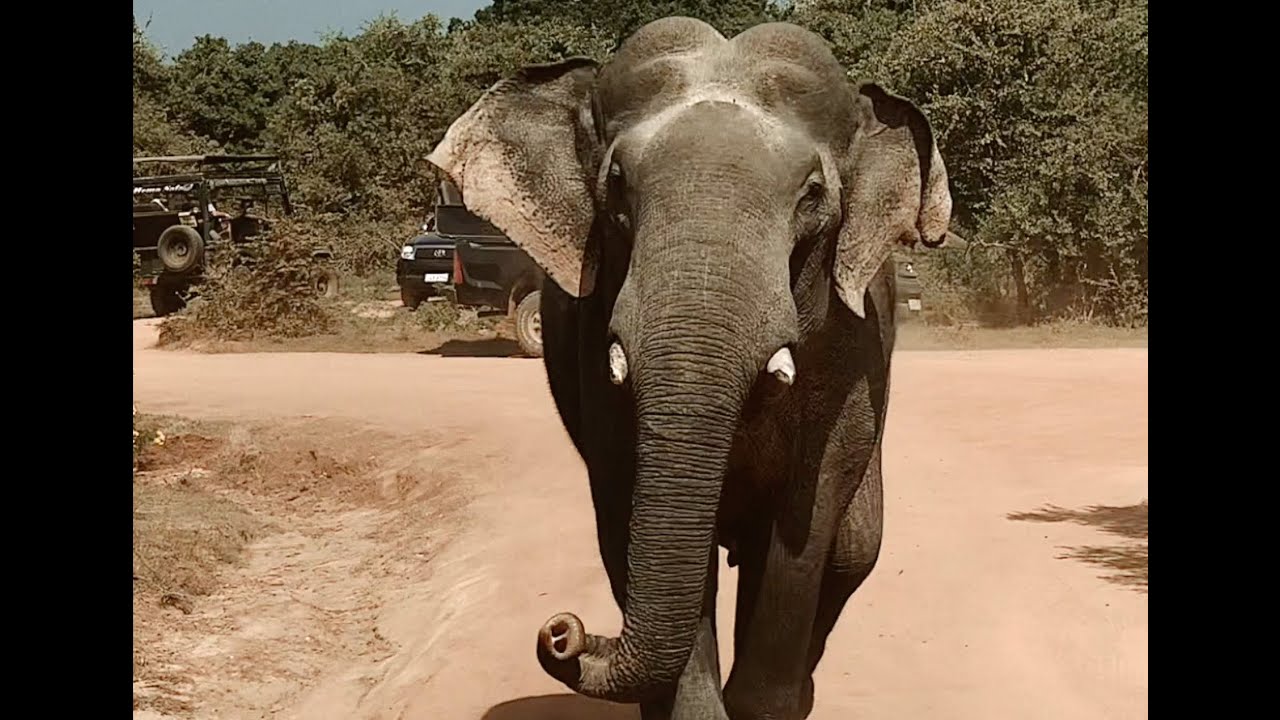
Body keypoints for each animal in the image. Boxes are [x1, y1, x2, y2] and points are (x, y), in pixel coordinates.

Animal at [427, 17, 957, 720]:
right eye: (616, 185)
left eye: (813, 194)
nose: (562, 632)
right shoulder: (592, 347)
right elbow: (630, 504)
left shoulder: (852, 349)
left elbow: (808, 520)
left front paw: (762, 702)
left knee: (851, 553)